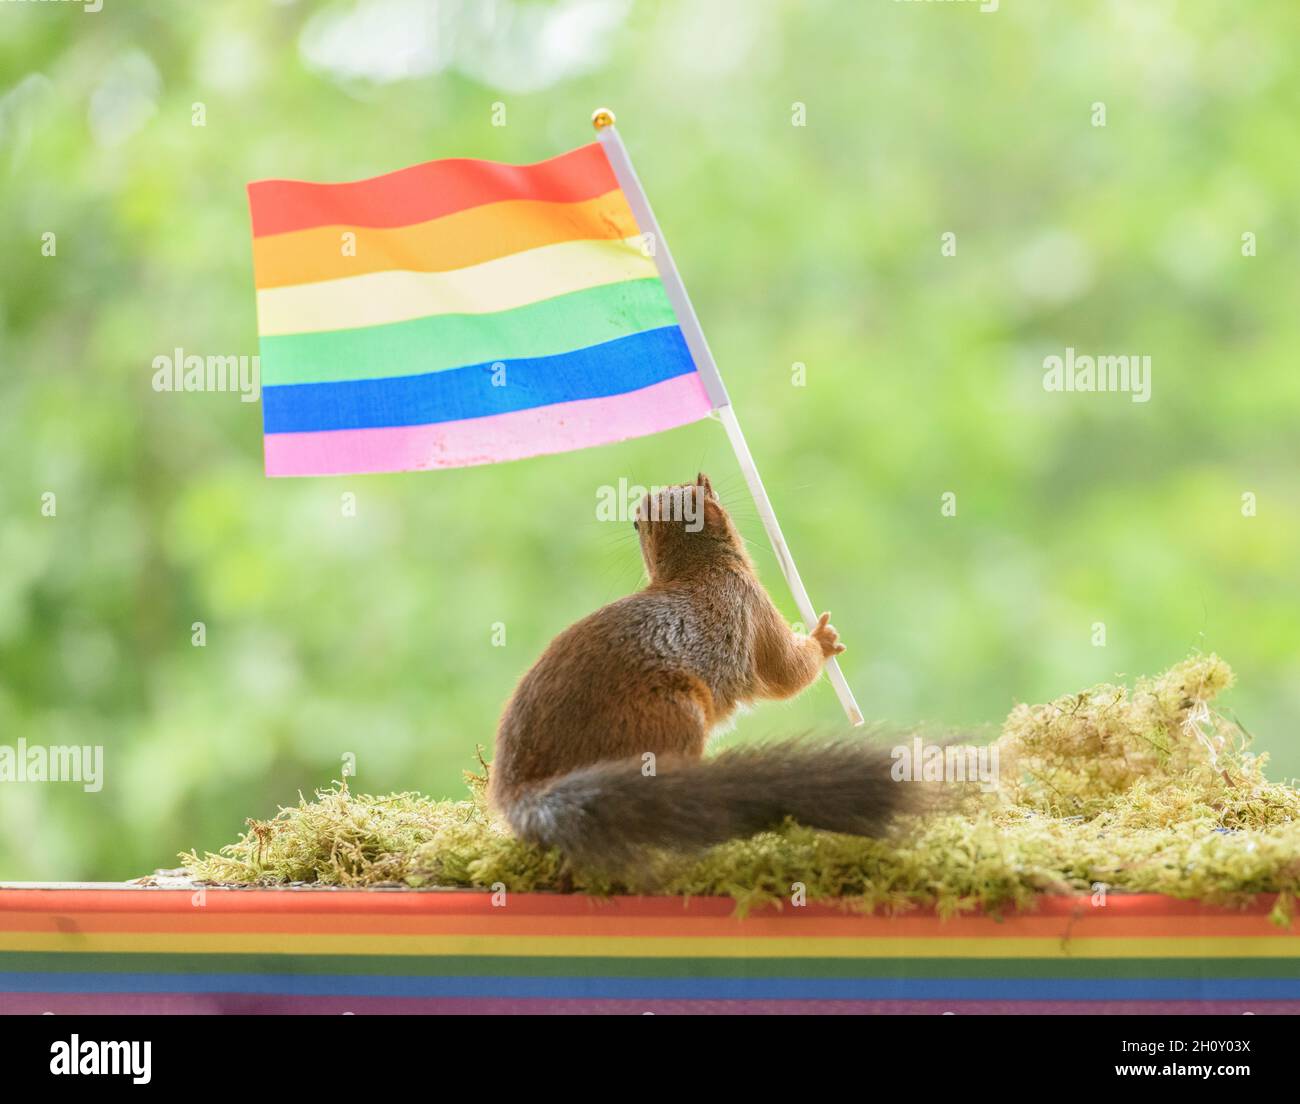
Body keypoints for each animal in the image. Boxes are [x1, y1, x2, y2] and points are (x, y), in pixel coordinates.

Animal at [487, 473, 909, 869]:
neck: (700, 564)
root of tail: (521, 788)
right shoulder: (752, 605)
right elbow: (785, 672)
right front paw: (822, 640)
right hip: (673, 718)